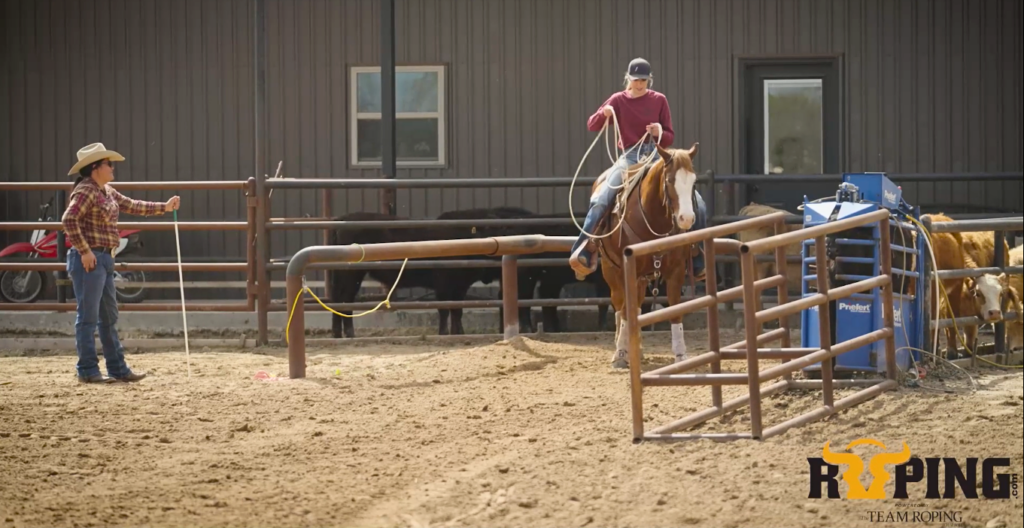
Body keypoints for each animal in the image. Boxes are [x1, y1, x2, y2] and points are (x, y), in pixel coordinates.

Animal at [591, 143, 701, 368]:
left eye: (694, 181)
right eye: (670, 180)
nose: (686, 219)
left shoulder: (676, 271)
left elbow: (675, 308)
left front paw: (681, 355)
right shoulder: (626, 270)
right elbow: (626, 310)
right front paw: (620, 354)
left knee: (637, 304)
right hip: (610, 269)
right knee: (620, 303)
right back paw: (623, 346)